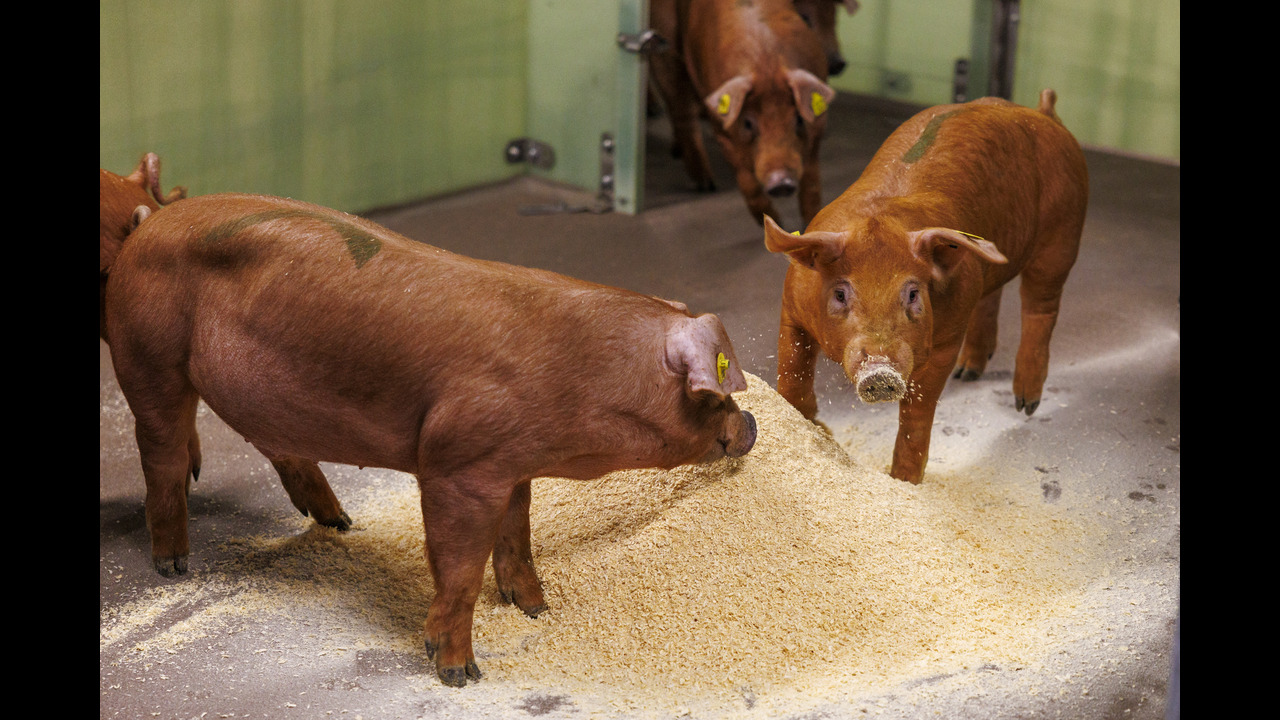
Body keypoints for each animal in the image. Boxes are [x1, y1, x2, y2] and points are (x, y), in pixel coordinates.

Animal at [103, 192, 757, 686]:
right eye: (717, 395)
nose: (751, 427)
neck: (584, 383)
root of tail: (148, 222)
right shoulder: (458, 467)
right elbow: (460, 567)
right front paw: (459, 674)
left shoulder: (512, 465)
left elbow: (517, 535)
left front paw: (536, 609)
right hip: (149, 354)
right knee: (160, 452)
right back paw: (173, 565)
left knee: (262, 441)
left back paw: (338, 522)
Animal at [649, 0, 837, 225]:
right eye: (748, 123)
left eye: (799, 119)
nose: (782, 182)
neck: (766, 64)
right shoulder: (722, 130)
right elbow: (749, 185)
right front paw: (776, 223)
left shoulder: (818, 127)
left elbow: (811, 188)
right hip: (664, 46)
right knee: (681, 111)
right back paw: (706, 184)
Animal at [765, 89, 1088, 484]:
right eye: (840, 293)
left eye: (913, 293)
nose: (880, 371)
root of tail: (1044, 114)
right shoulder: (791, 308)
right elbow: (791, 375)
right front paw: (813, 426)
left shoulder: (948, 337)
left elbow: (917, 412)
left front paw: (903, 482)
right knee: (992, 296)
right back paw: (970, 373)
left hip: (1063, 234)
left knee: (1041, 307)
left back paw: (1025, 403)